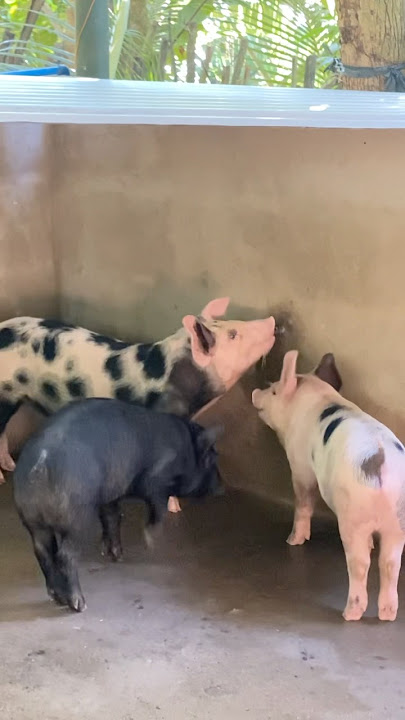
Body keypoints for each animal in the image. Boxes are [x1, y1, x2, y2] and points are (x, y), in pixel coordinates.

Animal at [0, 296, 276, 512]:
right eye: (233, 335)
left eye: (233, 325)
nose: (273, 320)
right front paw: (174, 508)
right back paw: (3, 479)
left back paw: (10, 467)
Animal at [13, 398, 223, 612]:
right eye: (212, 459)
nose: (221, 486)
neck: (185, 450)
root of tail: (41, 462)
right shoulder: (155, 480)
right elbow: (157, 506)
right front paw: (151, 540)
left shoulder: (110, 495)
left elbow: (113, 518)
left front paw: (114, 554)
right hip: (76, 519)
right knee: (65, 555)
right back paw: (79, 604)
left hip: (32, 520)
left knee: (43, 553)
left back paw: (57, 598)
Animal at [252, 350, 405, 622]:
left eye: (274, 391)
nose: (256, 390)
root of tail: (379, 465)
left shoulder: (300, 465)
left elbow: (303, 500)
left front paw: (292, 541)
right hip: (398, 521)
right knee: (390, 562)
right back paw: (387, 615)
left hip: (353, 520)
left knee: (360, 563)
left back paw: (349, 614)